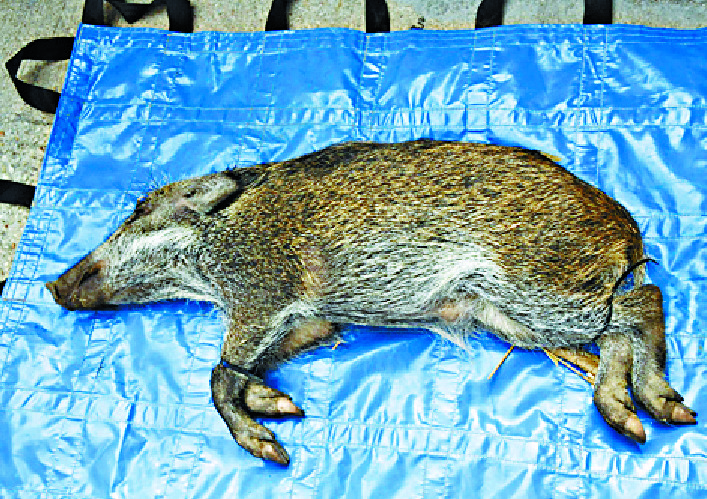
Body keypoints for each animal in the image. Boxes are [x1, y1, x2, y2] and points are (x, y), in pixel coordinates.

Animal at [45, 140, 697, 465]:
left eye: (138, 210)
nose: (51, 286)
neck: (213, 253)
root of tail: (627, 229)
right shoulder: (309, 319)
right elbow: (243, 369)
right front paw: (285, 407)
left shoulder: (263, 292)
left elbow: (218, 374)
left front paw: (274, 447)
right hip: (512, 317)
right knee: (615, 335)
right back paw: (630, 421)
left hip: (543, 295)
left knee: (646, 301)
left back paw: (668, 412)